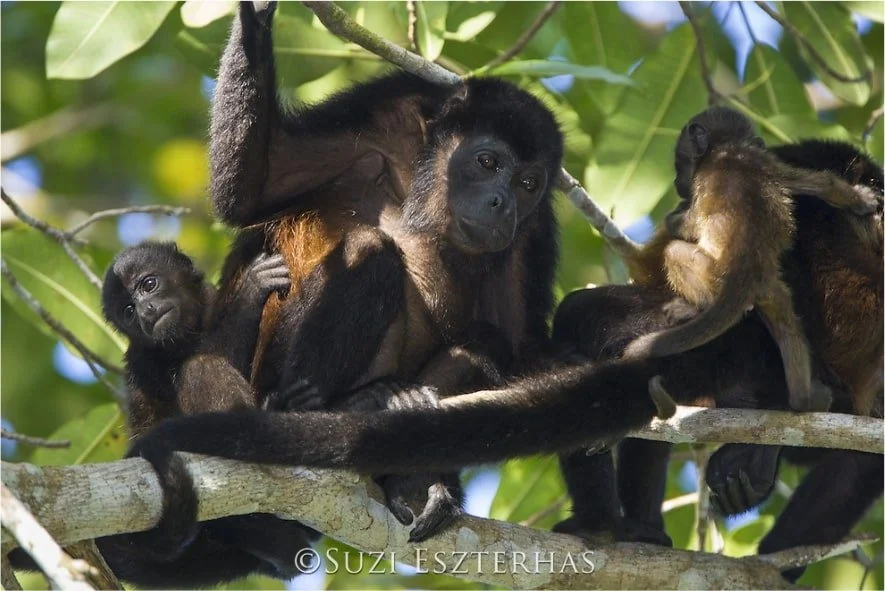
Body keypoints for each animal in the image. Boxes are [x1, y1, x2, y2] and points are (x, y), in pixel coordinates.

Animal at [622, 107, 879, 414]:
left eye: (678, 163)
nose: (675, 182)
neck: (724, 148)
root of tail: (749, 269)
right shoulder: (766, 160)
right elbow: (822, 183)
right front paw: (860, 199)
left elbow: (691, 222)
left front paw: (677, 218)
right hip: (773, 291)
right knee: (788, 329)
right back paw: (803, 399)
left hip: (715, 275)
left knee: (674, 252)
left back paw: (695, 308)